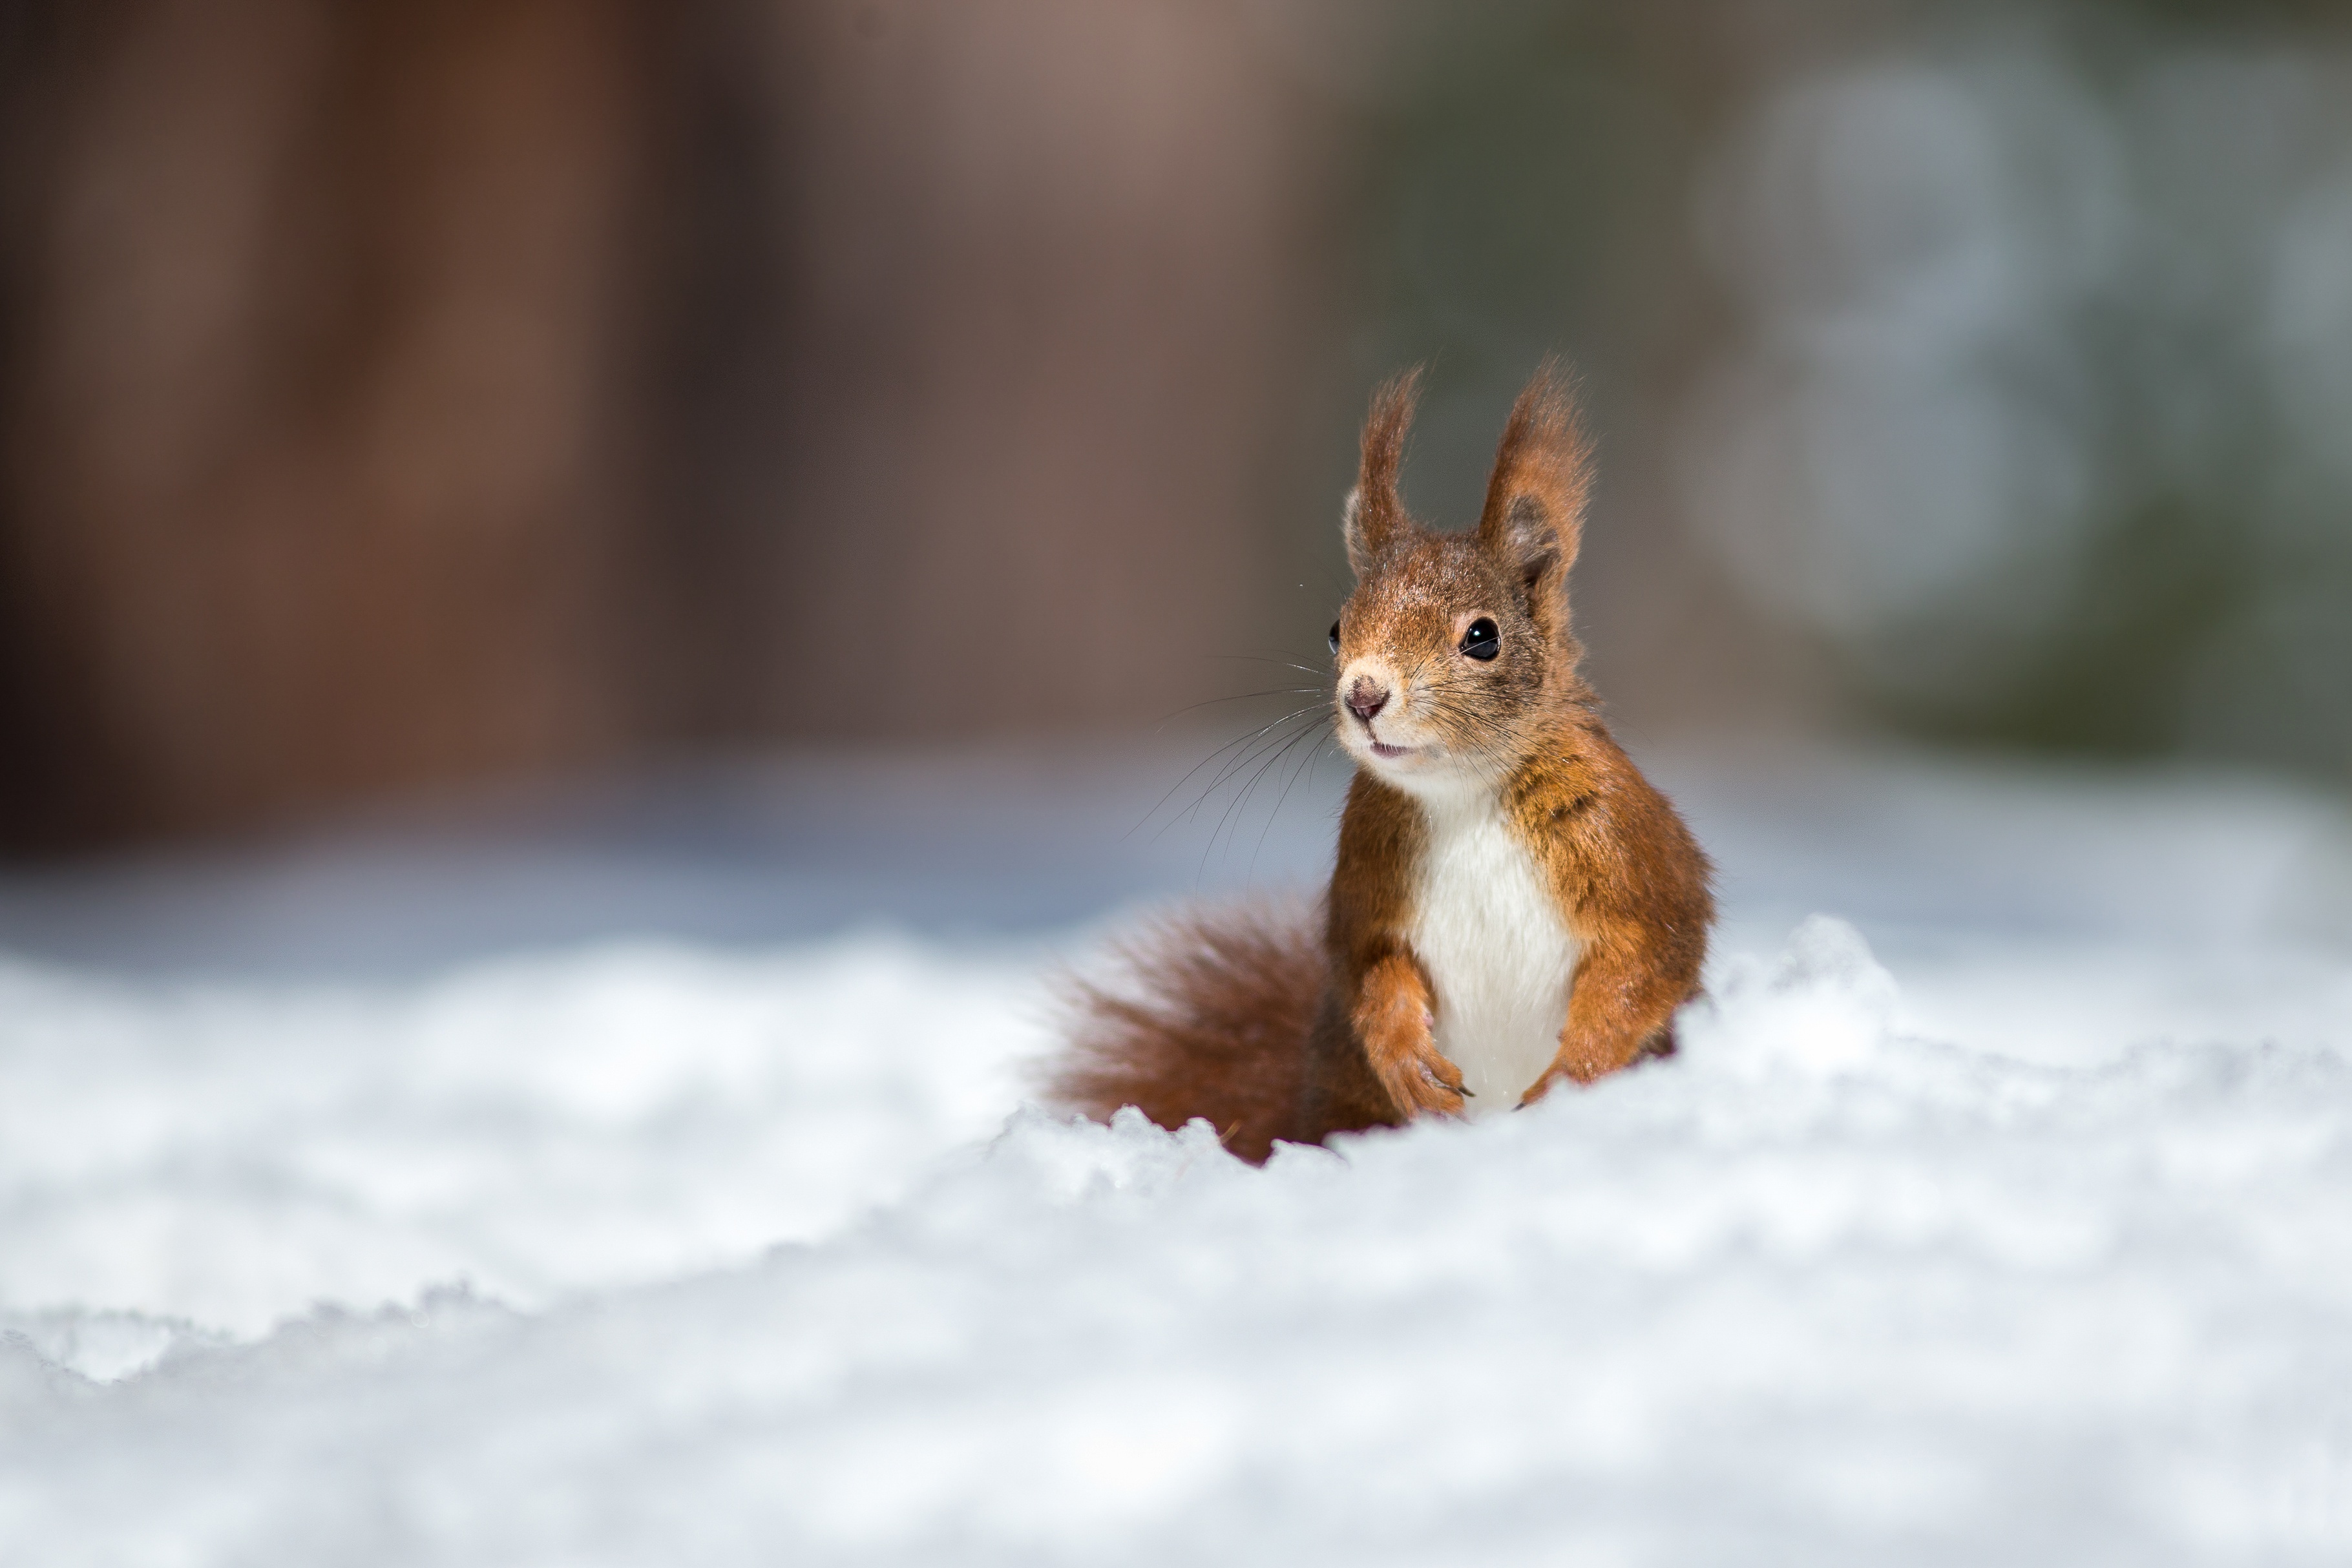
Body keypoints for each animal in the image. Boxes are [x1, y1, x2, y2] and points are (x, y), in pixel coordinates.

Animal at [1048, 364, 1714, 1163]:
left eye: (1483, 637)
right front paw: (1407, 1059)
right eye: (1337, 628)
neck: (1463, 793)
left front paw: (1570, 1079)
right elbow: (1371, 968)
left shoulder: (1624, 843)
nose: (1363, 695)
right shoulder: (1368, 868)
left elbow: (1645, 962)